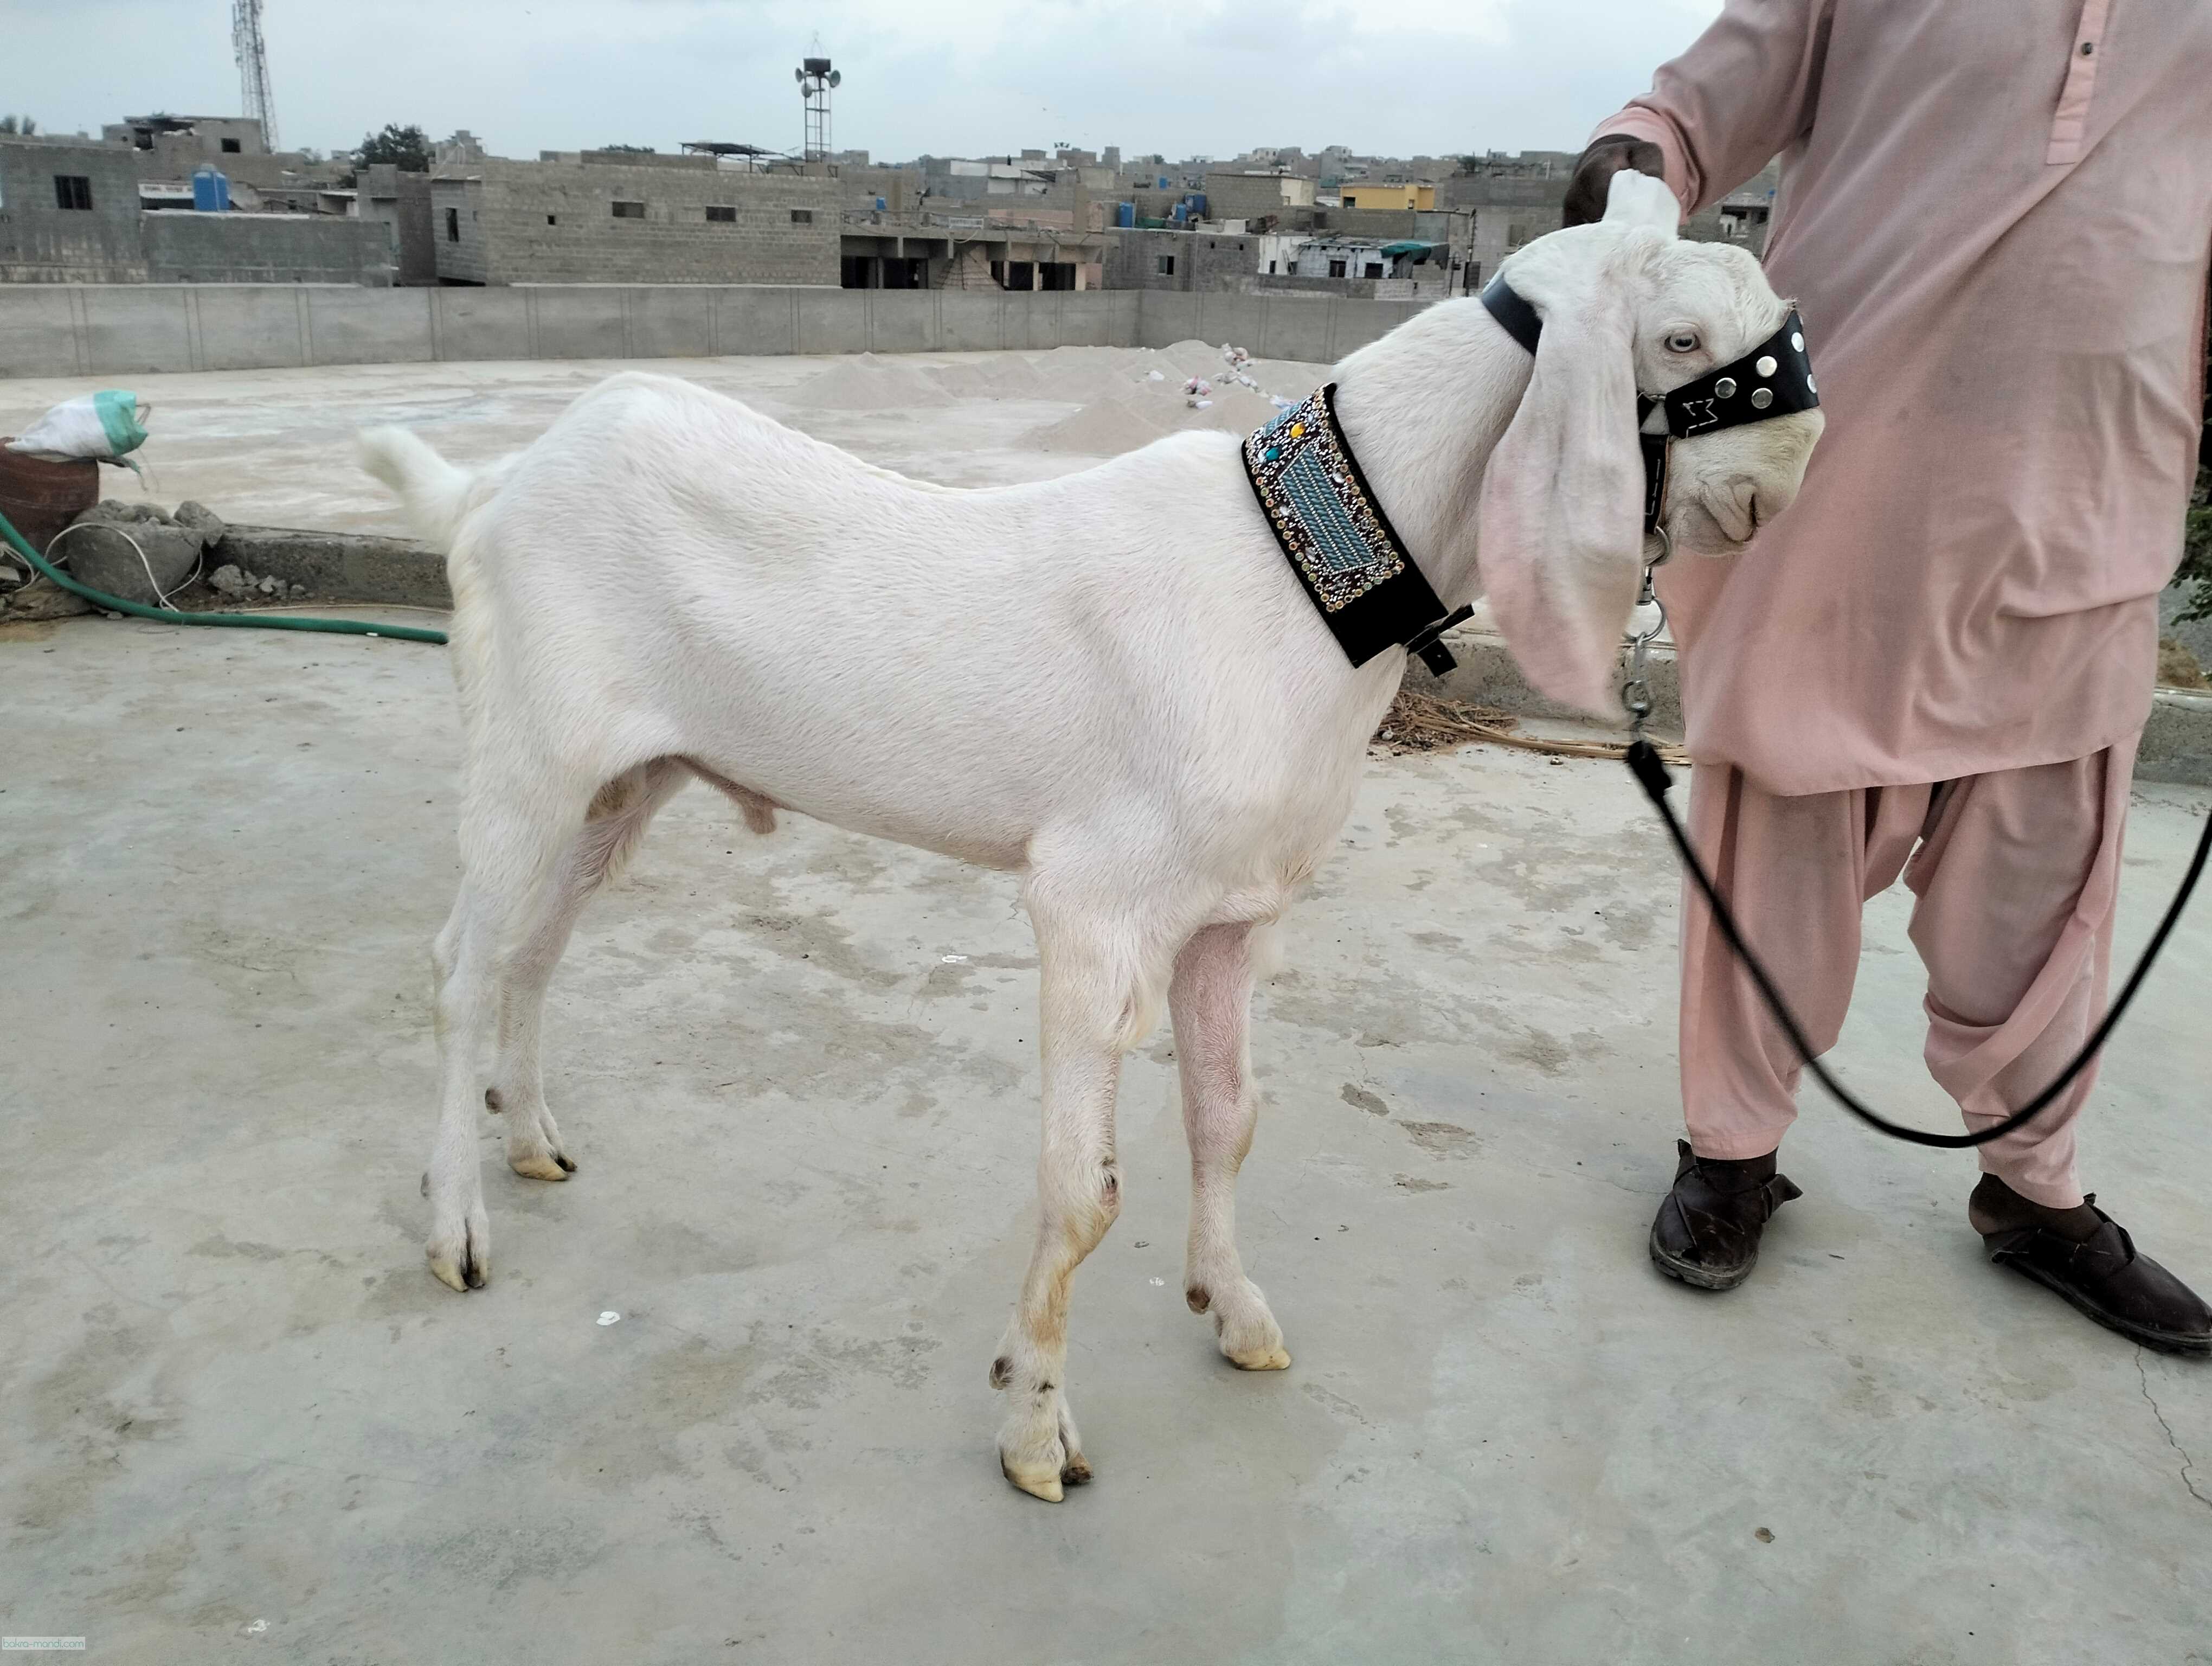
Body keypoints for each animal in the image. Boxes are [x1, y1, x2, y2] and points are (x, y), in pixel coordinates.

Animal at [359, 174, 1822, 1501]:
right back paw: (457, 1220)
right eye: (1680, 339)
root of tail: (497, 483)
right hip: (529, 746)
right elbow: (1082, 1191)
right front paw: (1032, 1426)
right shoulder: (1093, 908)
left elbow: (1229, 1119)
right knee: (459, 964)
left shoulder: (1236, 911)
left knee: (537, 949)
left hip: (624, 779)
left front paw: (1233, 1309)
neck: (1302, 576)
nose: (1778, 488)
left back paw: (530, 1135)